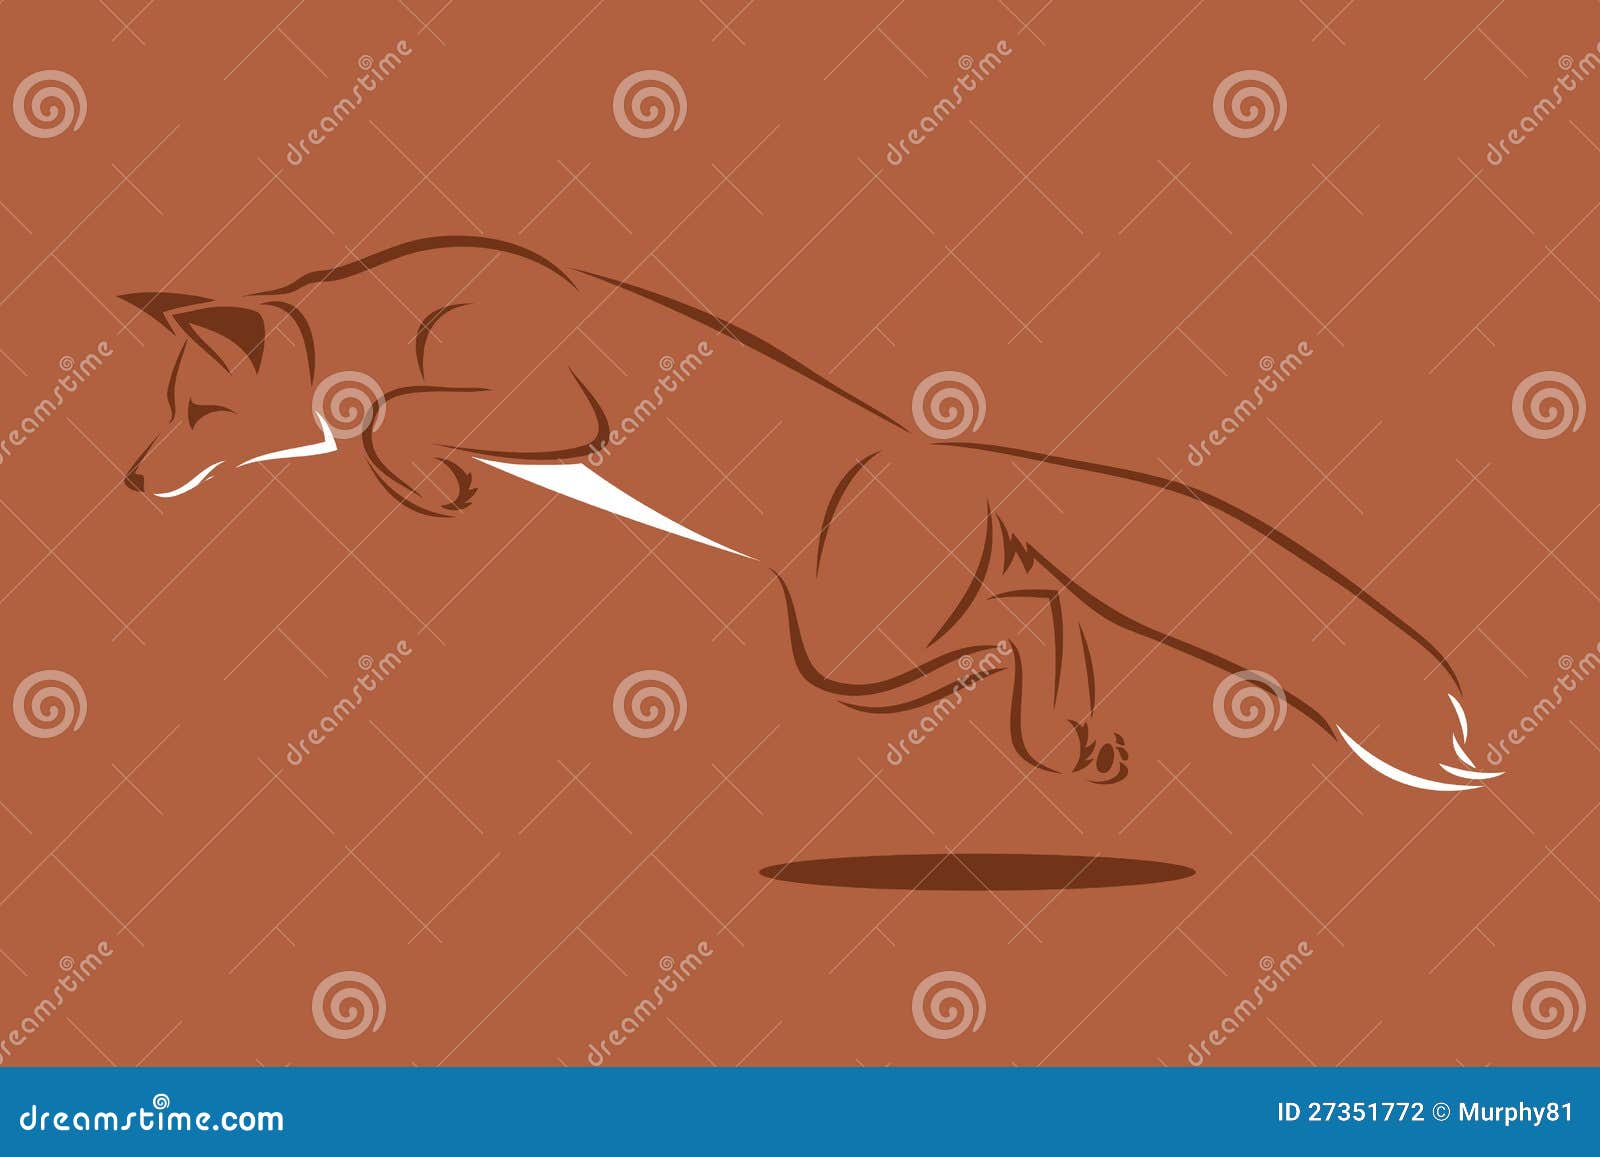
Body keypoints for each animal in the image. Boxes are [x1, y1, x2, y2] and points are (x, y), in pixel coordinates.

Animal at [118, 235, 1498, 793]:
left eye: (195, 409)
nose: (129, 481)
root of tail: (954, 449)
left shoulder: (546, 398)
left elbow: (398, 418)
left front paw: (420, 480)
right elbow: (386, 418)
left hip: (843, 638)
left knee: (1018, 617)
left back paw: (1025, 713)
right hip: (857, 634)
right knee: (1042, 603)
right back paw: (1063, 735)